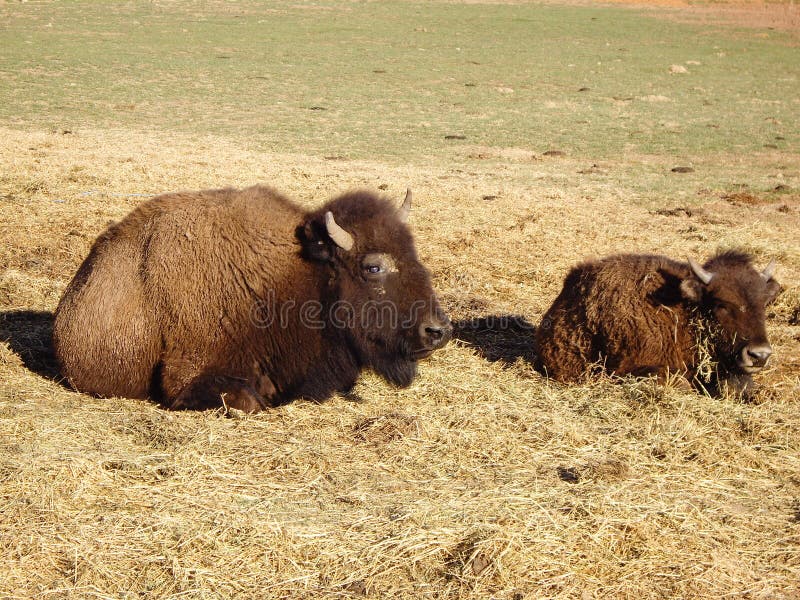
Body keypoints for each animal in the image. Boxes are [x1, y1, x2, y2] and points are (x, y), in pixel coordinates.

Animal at [54, 185, 451, 412]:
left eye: (413, 252)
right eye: (373, 267)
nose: (438, 330)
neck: (304, 275)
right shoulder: (188, 375)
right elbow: (248, 401)